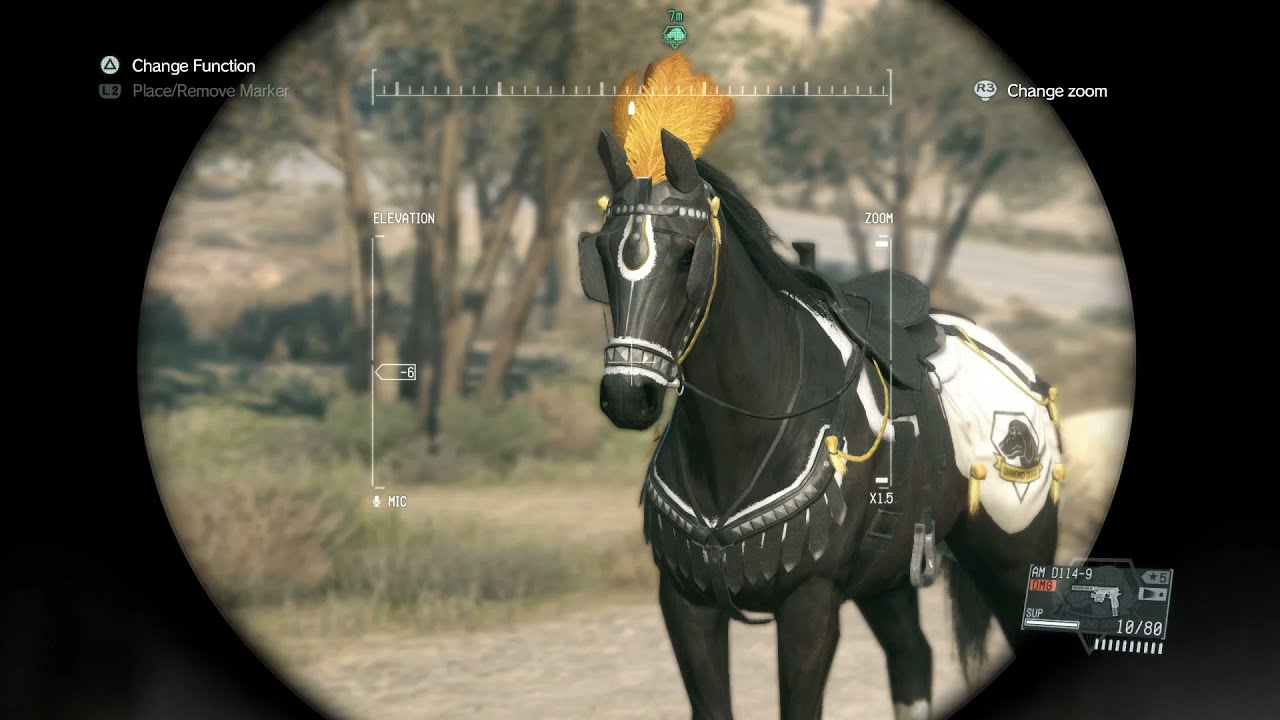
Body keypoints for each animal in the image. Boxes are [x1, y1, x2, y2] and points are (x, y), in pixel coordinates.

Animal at [578, 127, 1063, 720]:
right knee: (912, 657)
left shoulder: (810, 602)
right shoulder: (686, 604)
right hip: (887, 578)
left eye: (689, 255)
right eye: (602, 253)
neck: (745, 435)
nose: (628, 396)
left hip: (1016, 557)